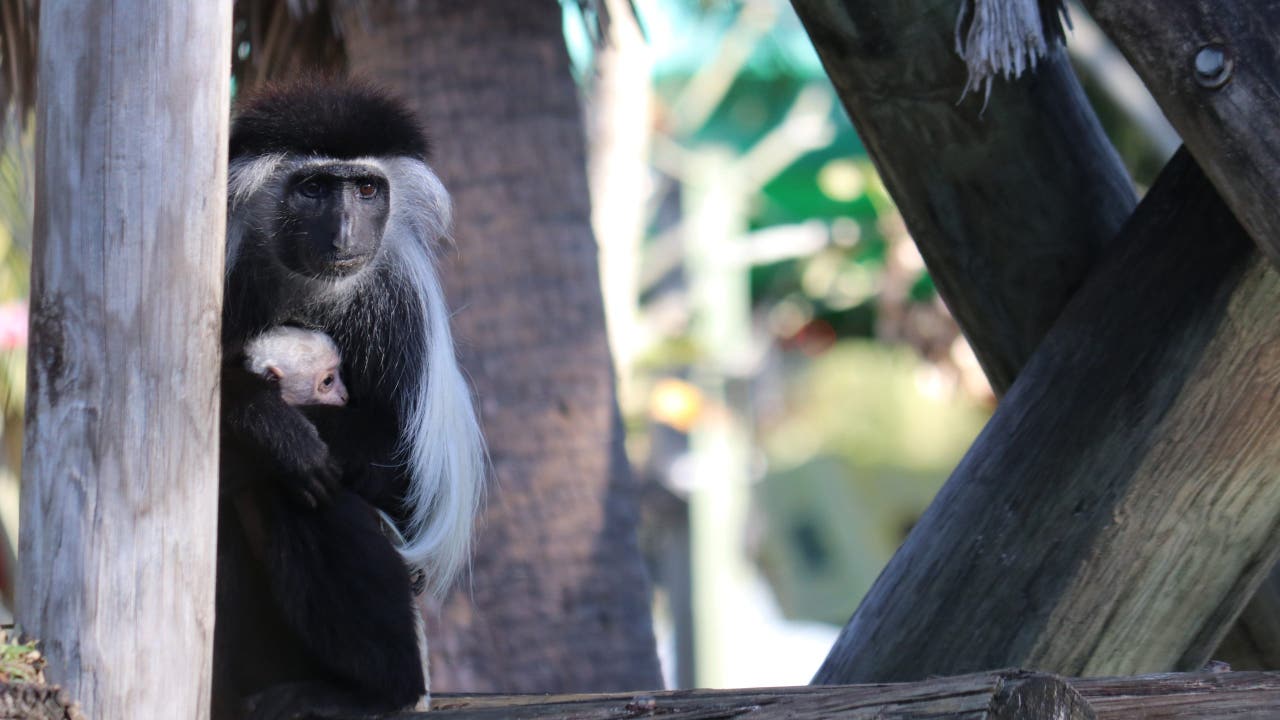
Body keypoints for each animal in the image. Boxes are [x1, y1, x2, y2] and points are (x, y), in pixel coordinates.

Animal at [213, 78, 485, 720]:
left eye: (365, 189)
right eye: (313, 188)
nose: (343, 234)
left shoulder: (400, 303)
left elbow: (410, 483)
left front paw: (283, 429)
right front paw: (262, 416)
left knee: (309, 491)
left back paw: (371, 693)